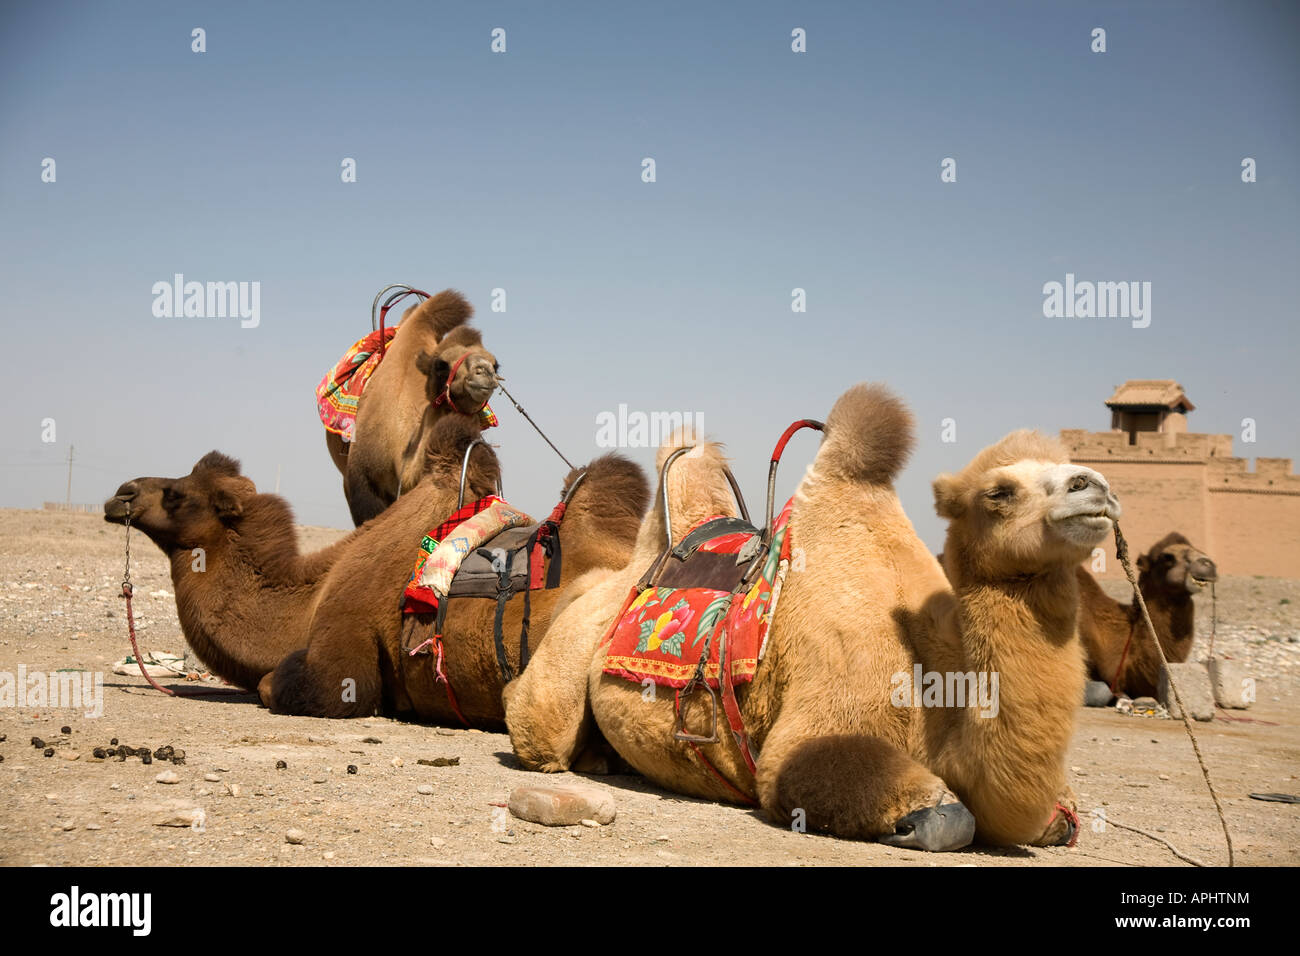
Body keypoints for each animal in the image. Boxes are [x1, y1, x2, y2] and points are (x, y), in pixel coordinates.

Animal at [506, 384, 1123, 849]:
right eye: (998, 491)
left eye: (1071, 468)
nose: (1094, 485)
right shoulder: (824, 707)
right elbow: (948, 817)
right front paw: (921, 817)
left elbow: (1054, 820)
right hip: (562, 667)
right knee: (539, 726)